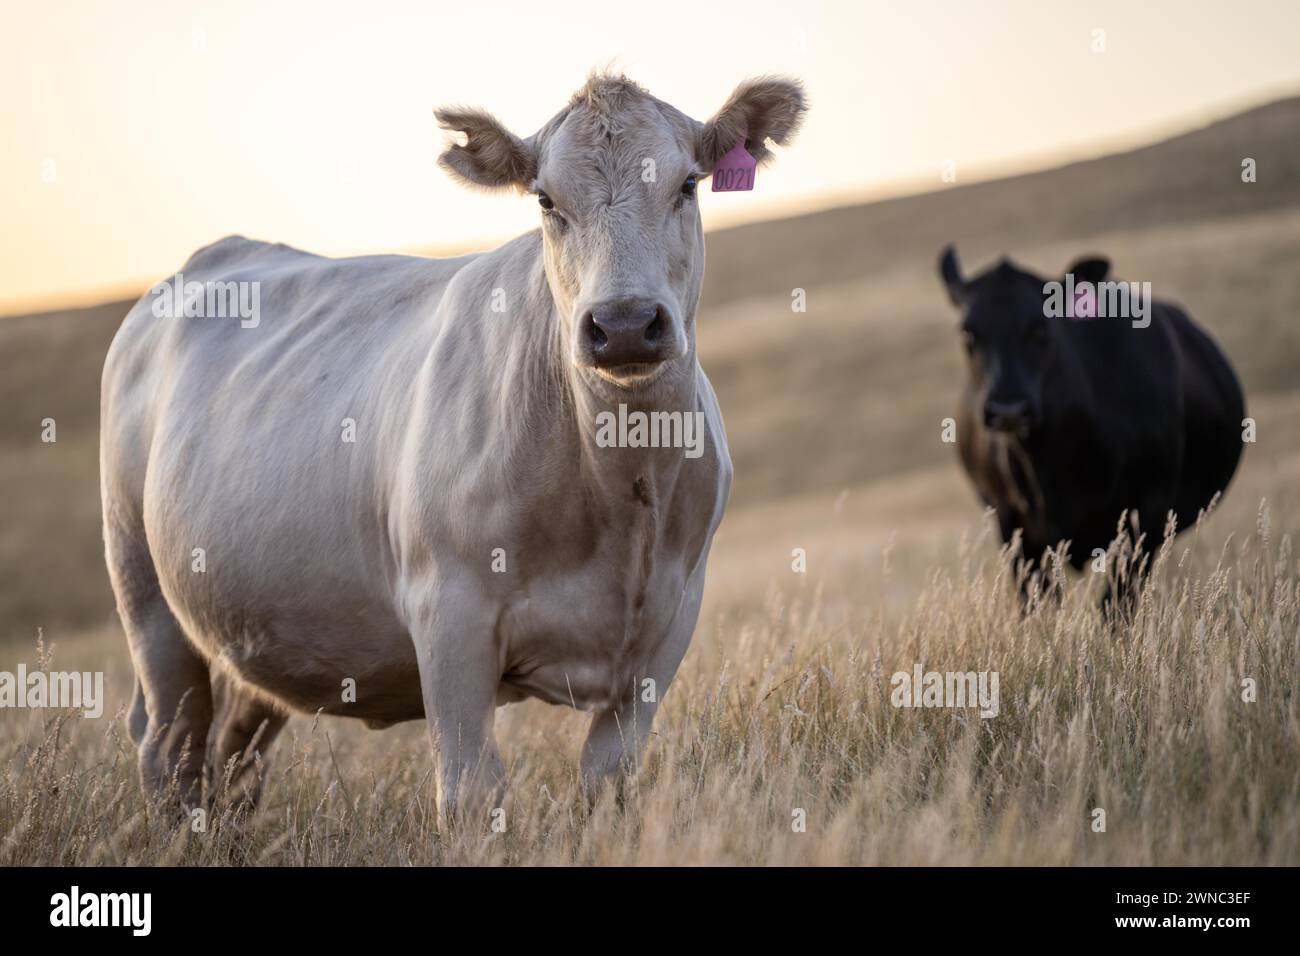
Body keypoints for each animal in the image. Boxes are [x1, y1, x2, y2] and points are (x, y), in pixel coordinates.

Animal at [100, 73, 807, 821]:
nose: (623, 325)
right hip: (146, 593)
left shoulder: (666, 628)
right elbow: (469, 790)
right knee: (169, 742)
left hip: (251, 632)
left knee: (234, 753)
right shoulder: (449, 614)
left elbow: (606, 780)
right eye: (545, 200)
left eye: (688, 184)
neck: (620, 490)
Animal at [937, 246, 1245, 606]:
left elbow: (1115, 603)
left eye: (1041, 328)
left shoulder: (1146, 512)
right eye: (968, 332)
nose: (1008, 409)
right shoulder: (1012, 523)